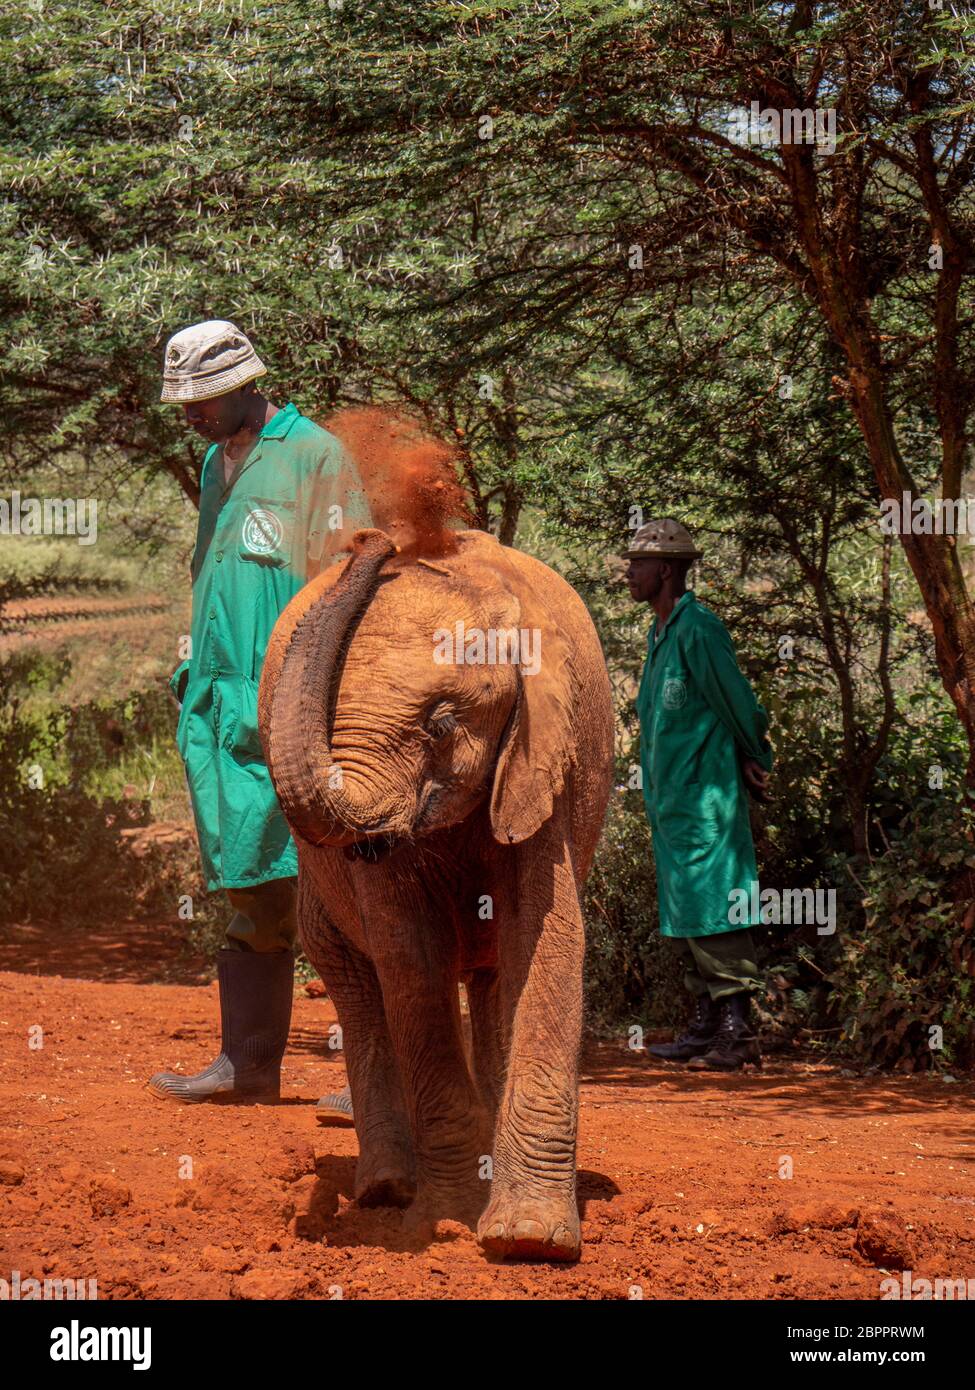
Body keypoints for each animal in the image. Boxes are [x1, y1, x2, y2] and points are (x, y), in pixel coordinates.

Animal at [258, 524, 614, 1261]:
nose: (371, 540)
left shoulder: (544, 764)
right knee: (358, 985)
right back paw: (386, 1189)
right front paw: (446, 1219)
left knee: (492, 976)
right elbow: (410, 958)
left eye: (443, 724)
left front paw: (528, 1241)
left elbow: (546, 938)